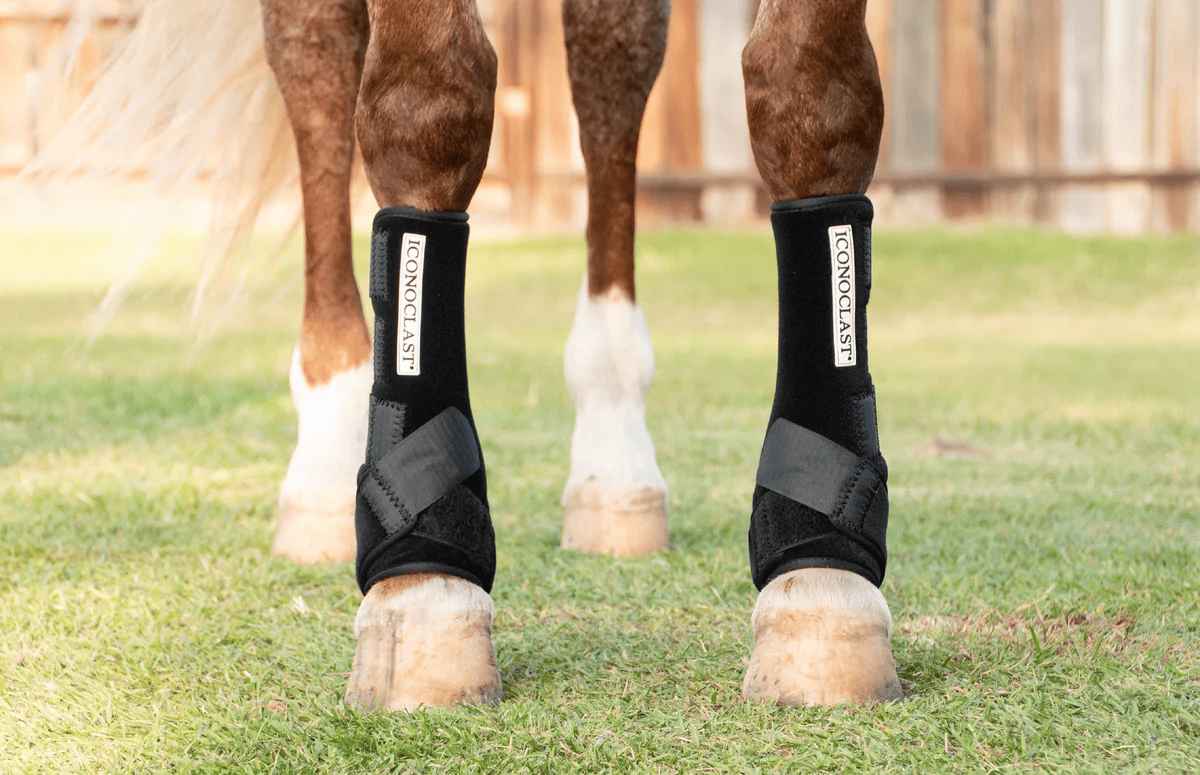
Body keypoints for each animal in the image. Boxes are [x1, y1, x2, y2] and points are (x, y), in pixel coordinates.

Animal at [41, 0, 902, 710]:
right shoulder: (420, 93)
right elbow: (427, 98)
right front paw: (423, 596)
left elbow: (813, 89)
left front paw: (821, 588)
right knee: (316, 60)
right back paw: (325, 455)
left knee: (612, 56)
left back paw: (614, 455)